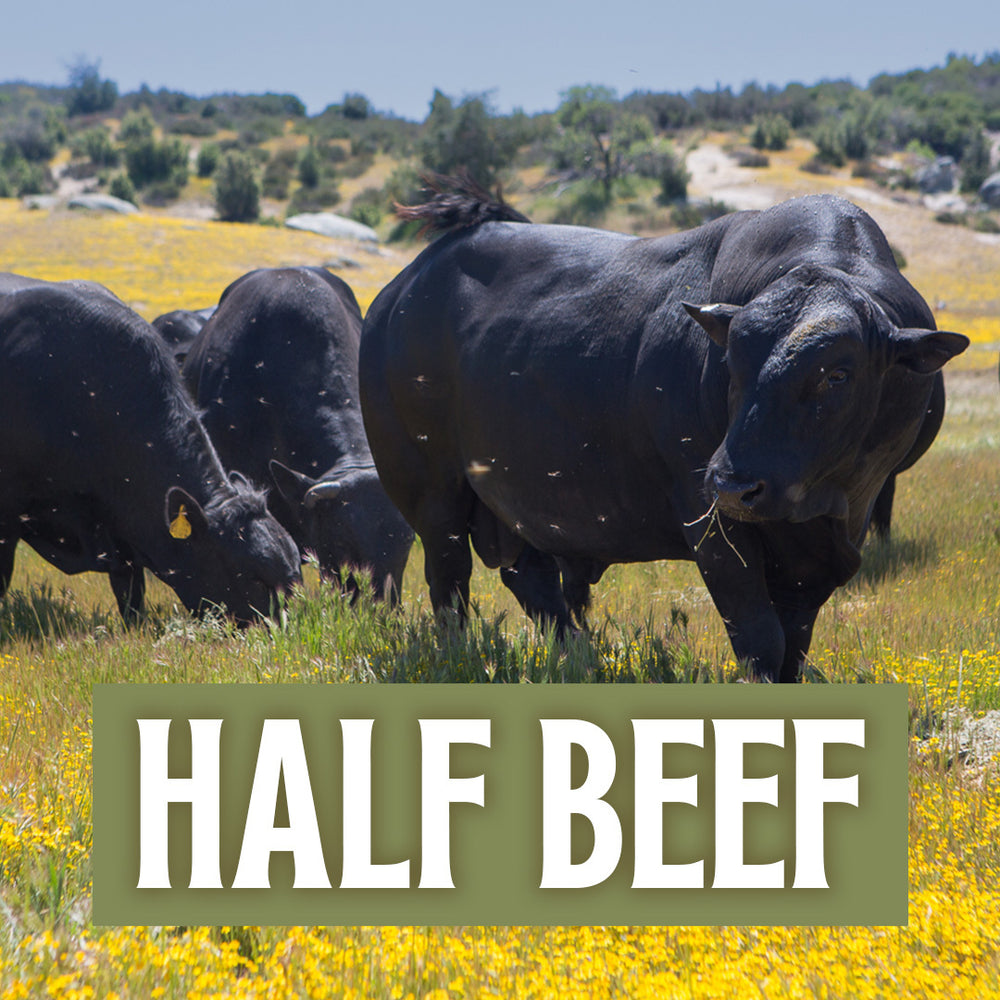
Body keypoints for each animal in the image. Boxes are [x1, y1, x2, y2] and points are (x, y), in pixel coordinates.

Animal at [359, 185, 968, 681]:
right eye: (733, 360)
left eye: (837, 374)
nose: (733, 485)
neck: (827, 503)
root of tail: (396, 298)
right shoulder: (711, 527)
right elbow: (760, 637)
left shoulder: (822, 551)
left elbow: (794, 645)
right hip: (434, 497)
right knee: (450, 586)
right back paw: (460, 655)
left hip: (514, 506)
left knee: (535, 584)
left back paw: (582, 660)